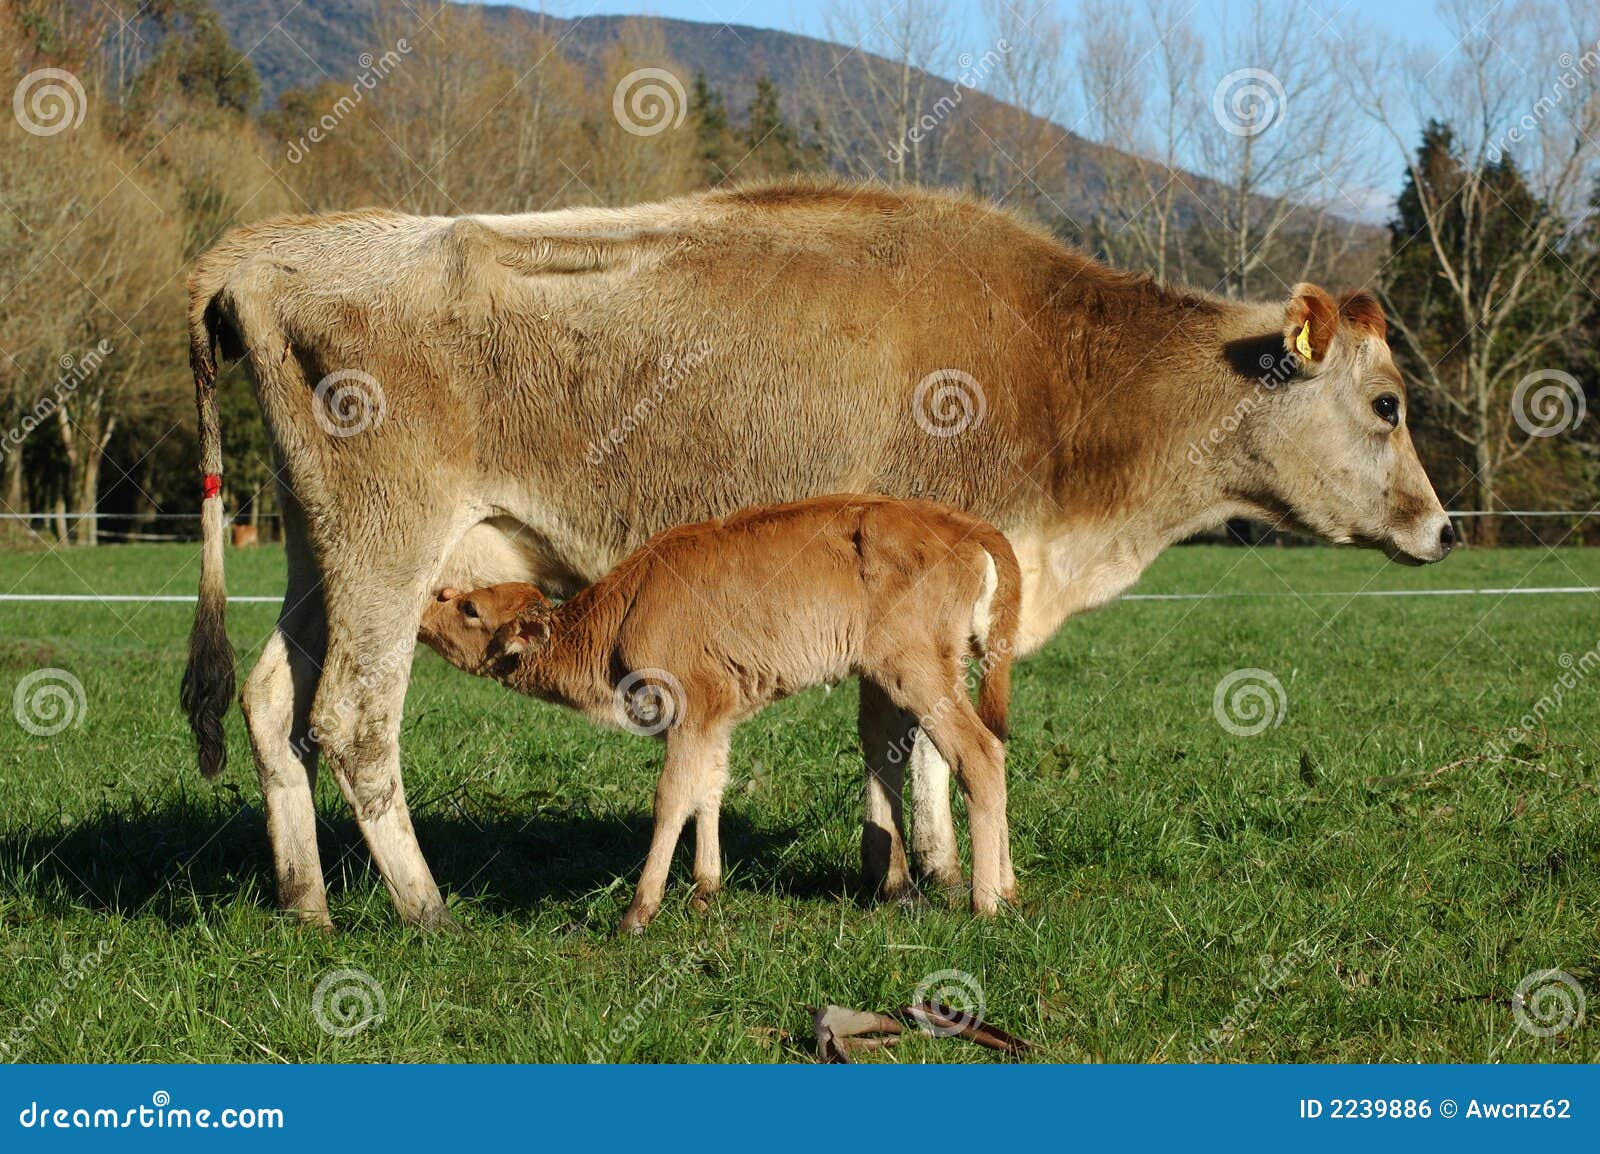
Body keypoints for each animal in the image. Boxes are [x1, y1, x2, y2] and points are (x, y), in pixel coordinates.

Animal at [414, 494, 1022, 933]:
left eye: (468, 606)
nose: (420, 613)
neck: (625, 609)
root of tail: (962, 524)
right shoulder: (716, 716)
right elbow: (709, 787)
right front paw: (705, 888)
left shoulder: (693, 708)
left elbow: (671, 798)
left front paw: (638, 912)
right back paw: (1009, 889)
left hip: (918, 673)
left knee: (979, 754)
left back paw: (985, 904)